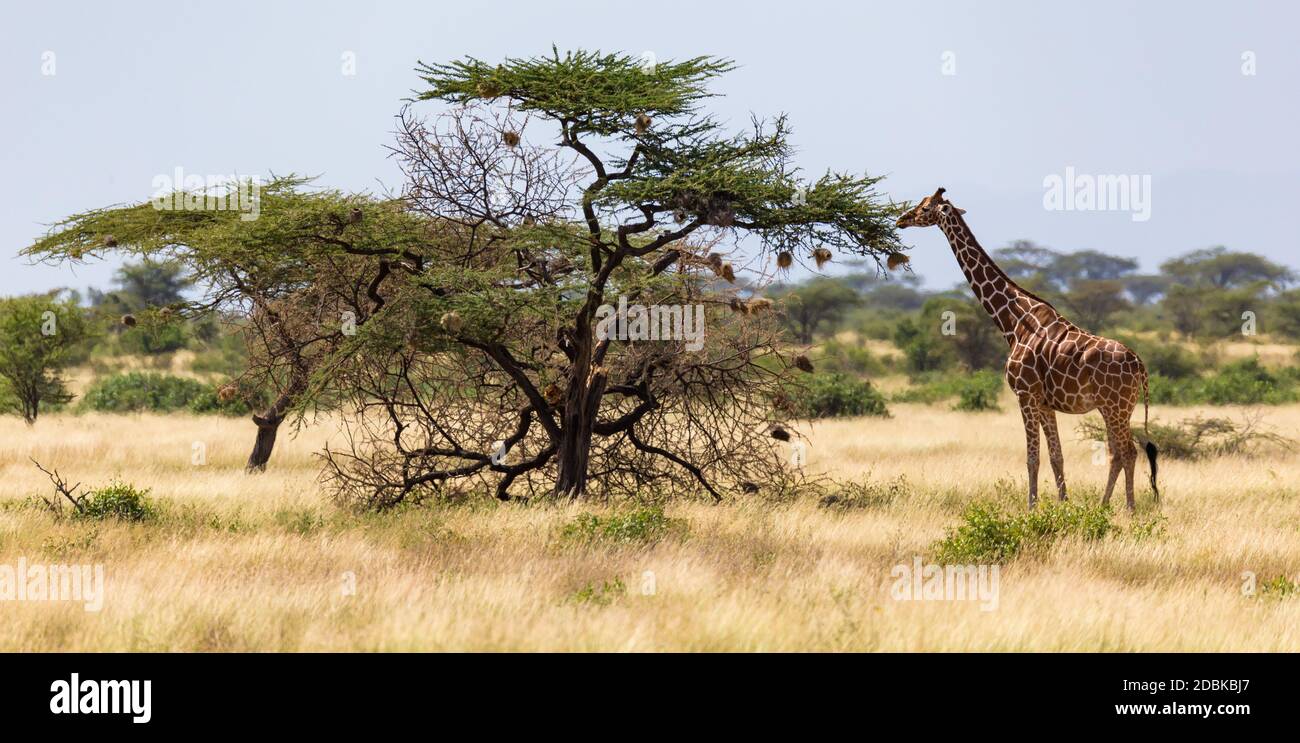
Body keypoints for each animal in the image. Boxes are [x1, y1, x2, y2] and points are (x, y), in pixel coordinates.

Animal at [896, 187, 1158, 509]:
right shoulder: (1045, 402)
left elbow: (1032, 458)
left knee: (1127, 452)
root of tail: (1139, 364)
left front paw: (1031, 509)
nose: (901, 220)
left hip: (1115, 407)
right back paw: (1104, 505)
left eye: (925, 208)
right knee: (1117, 453)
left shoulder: (1025, 394)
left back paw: (1127, 509)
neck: (1014, 322)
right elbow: (1057, 457)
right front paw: (1063, 505)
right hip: (1120, 408)